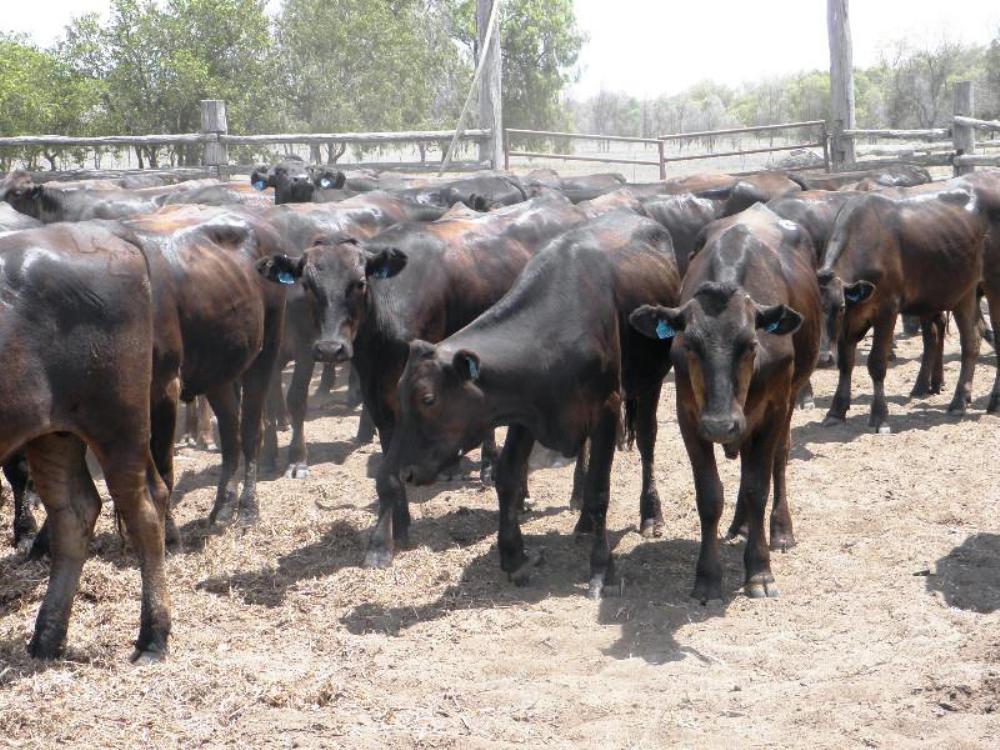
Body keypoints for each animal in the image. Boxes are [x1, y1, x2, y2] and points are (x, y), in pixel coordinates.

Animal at [0, 222, 172, 660]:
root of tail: (102, 230)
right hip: (53, 434)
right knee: (74, 514)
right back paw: (46, 638)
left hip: (119, 424)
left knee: (144, 512)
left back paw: (154, 636)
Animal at [391, 211, 681, 597]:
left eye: (428, 398)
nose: (405, 472)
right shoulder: (526, 413)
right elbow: (508, 477)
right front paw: (513, 556)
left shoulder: (607, 408)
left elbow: (600, 489)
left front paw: (601, 567)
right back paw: (583, 522)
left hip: (650, 381)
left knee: (647, 442)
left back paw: (650, 514)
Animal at [630, 203, 820, 601]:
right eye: (689, 345)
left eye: (751, 344)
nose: (720, 424)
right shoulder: (690, 417)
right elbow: (710, 494)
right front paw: (707, 577)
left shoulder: (773, 411)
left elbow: (757, 487)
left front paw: (760, 572)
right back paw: (741, 524)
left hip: (786, 402)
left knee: (778, 460)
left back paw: (780, 530)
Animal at [818, 183, 988, 432]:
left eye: (839, 307)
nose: (822, 359)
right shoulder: (850, 322)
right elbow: (846, 363)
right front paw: (836, 411)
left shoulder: (887, 310)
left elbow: (877, 363)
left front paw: (880, 415)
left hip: (968, 293)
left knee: (970, 341)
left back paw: (958, 402)